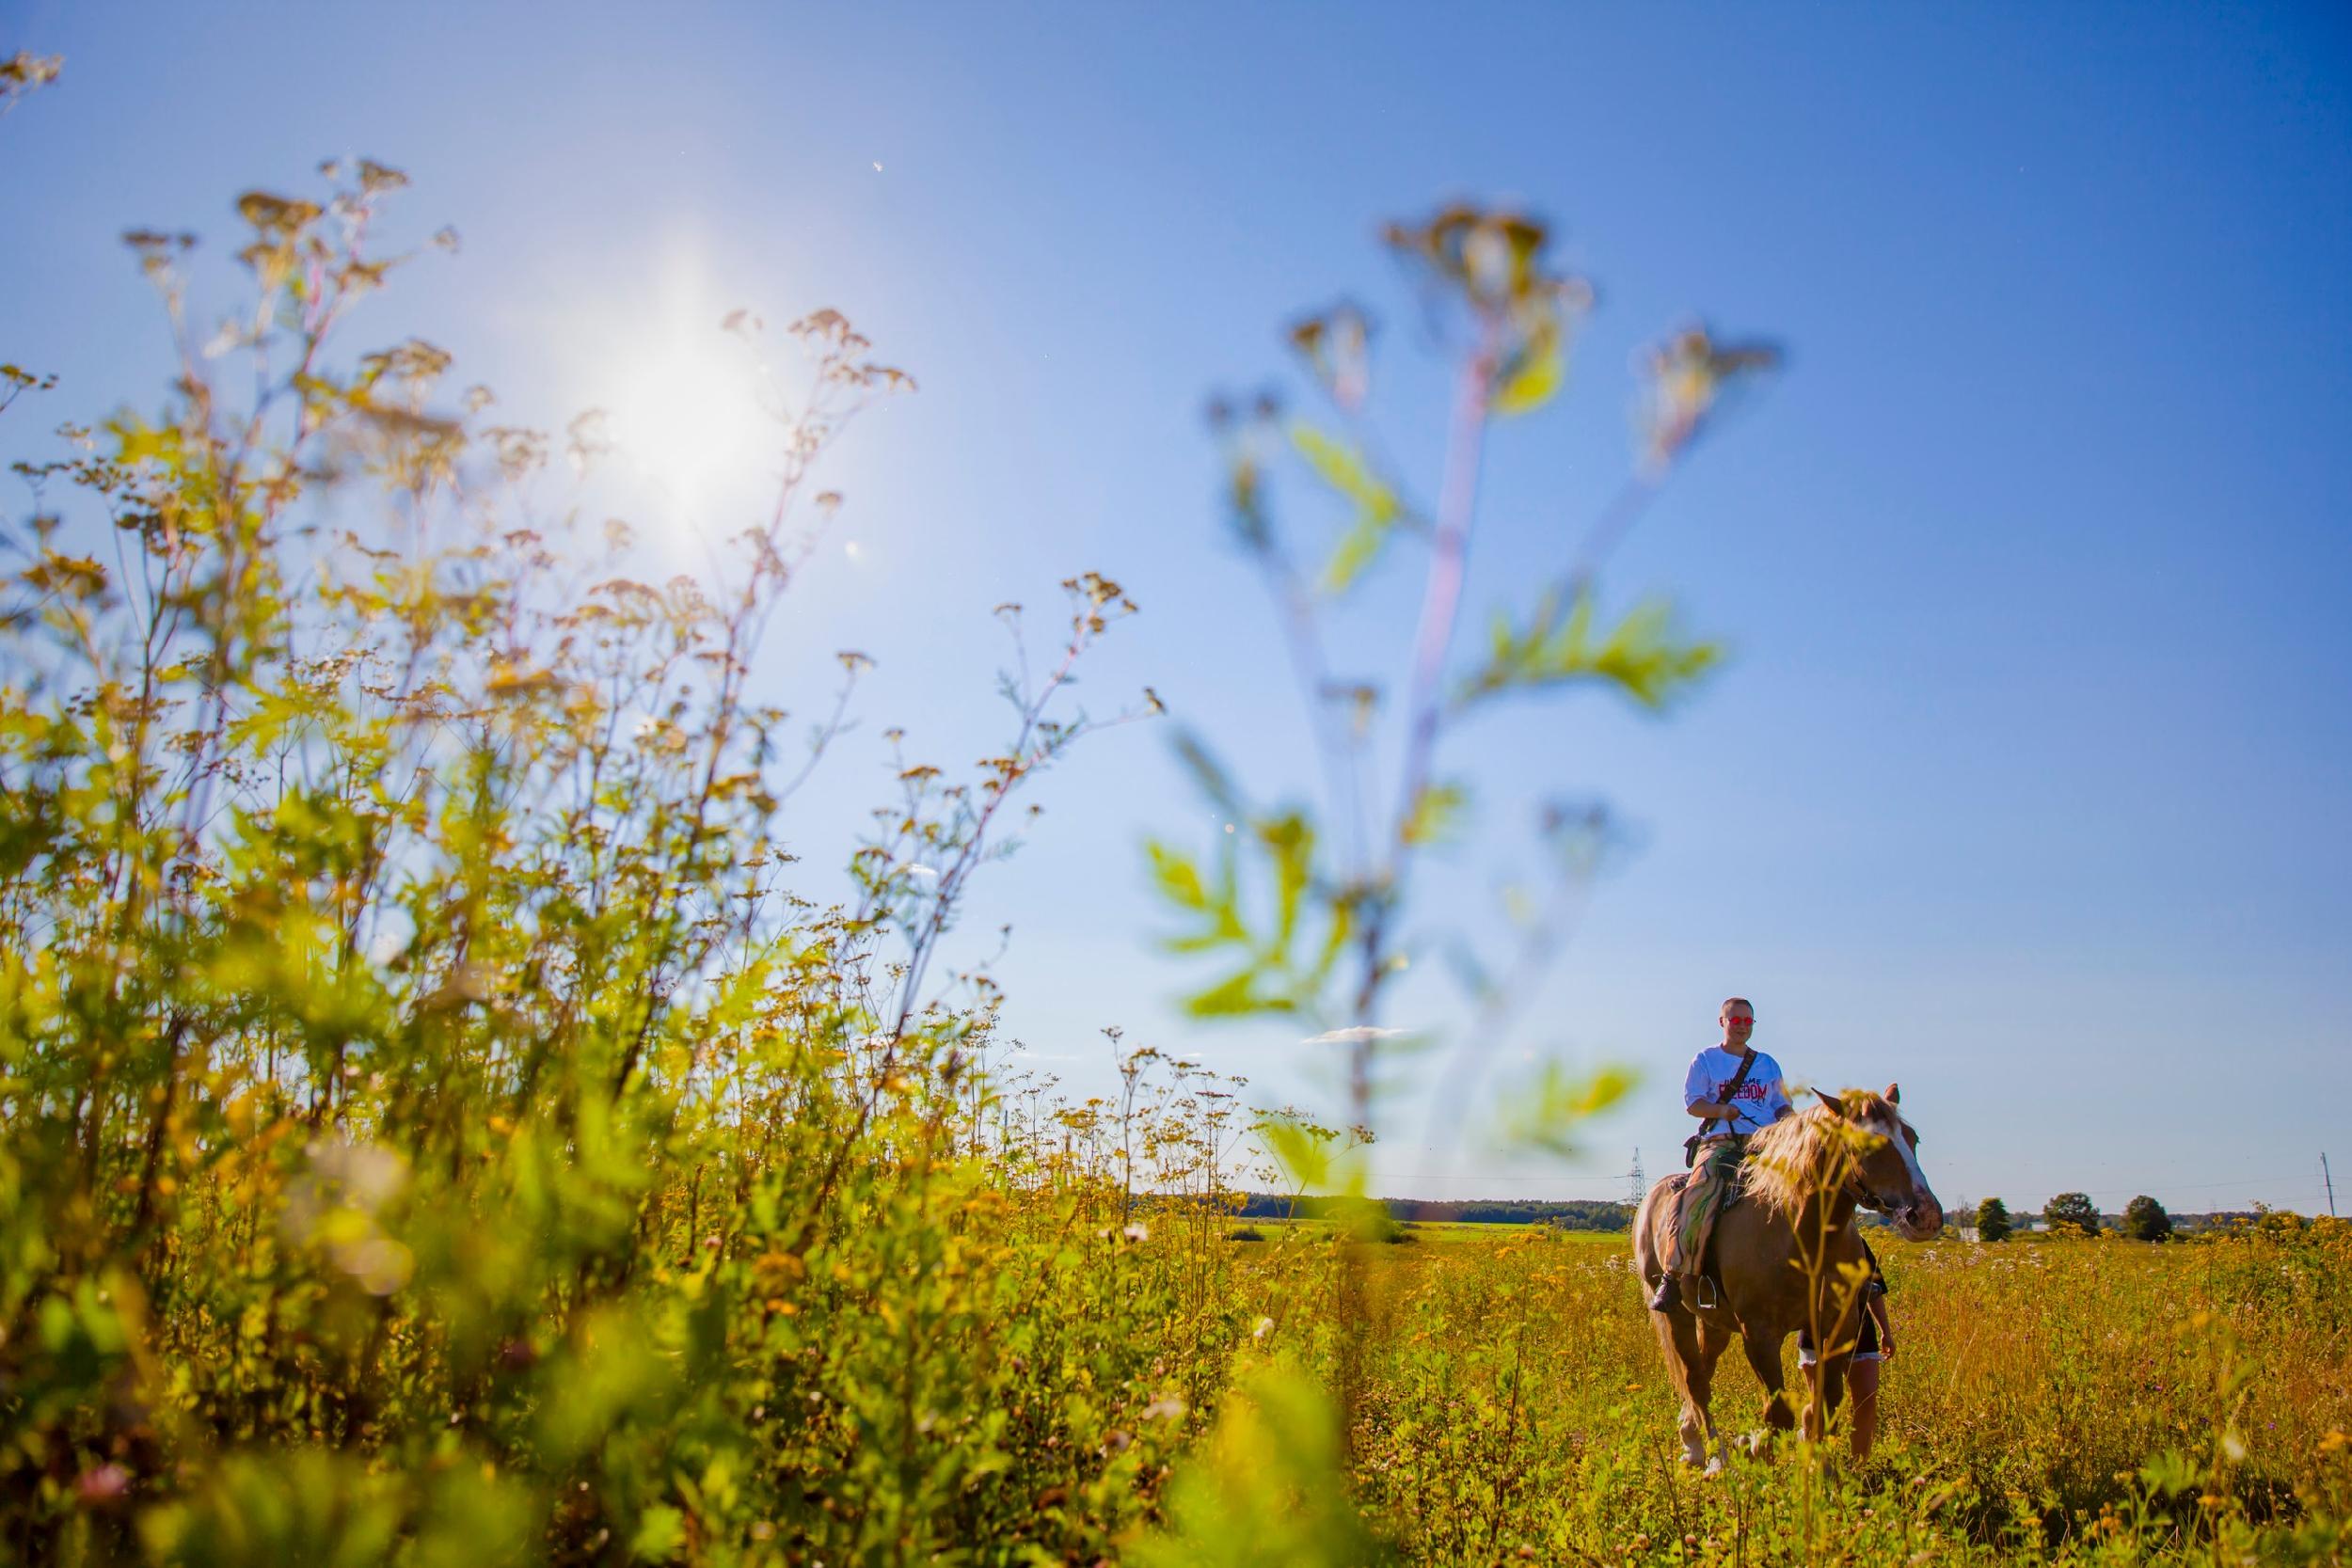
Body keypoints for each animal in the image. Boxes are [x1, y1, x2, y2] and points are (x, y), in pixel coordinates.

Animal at [1631, 1083, 1942, 1469]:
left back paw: (1692, 1441)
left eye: (1912, 1138)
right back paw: (1716, 1459)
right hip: (1678, 1314)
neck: (1800, 1234)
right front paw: (1753, 1449)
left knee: (1702, 1371)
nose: (1927, 1216)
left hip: (1715, 1322)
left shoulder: (1836, 1329)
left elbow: (1826, 1407)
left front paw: (1819, 1468)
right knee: (1696, 1381)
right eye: (1865, 1143)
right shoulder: (1760, 1335)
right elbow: (1778, 1413)